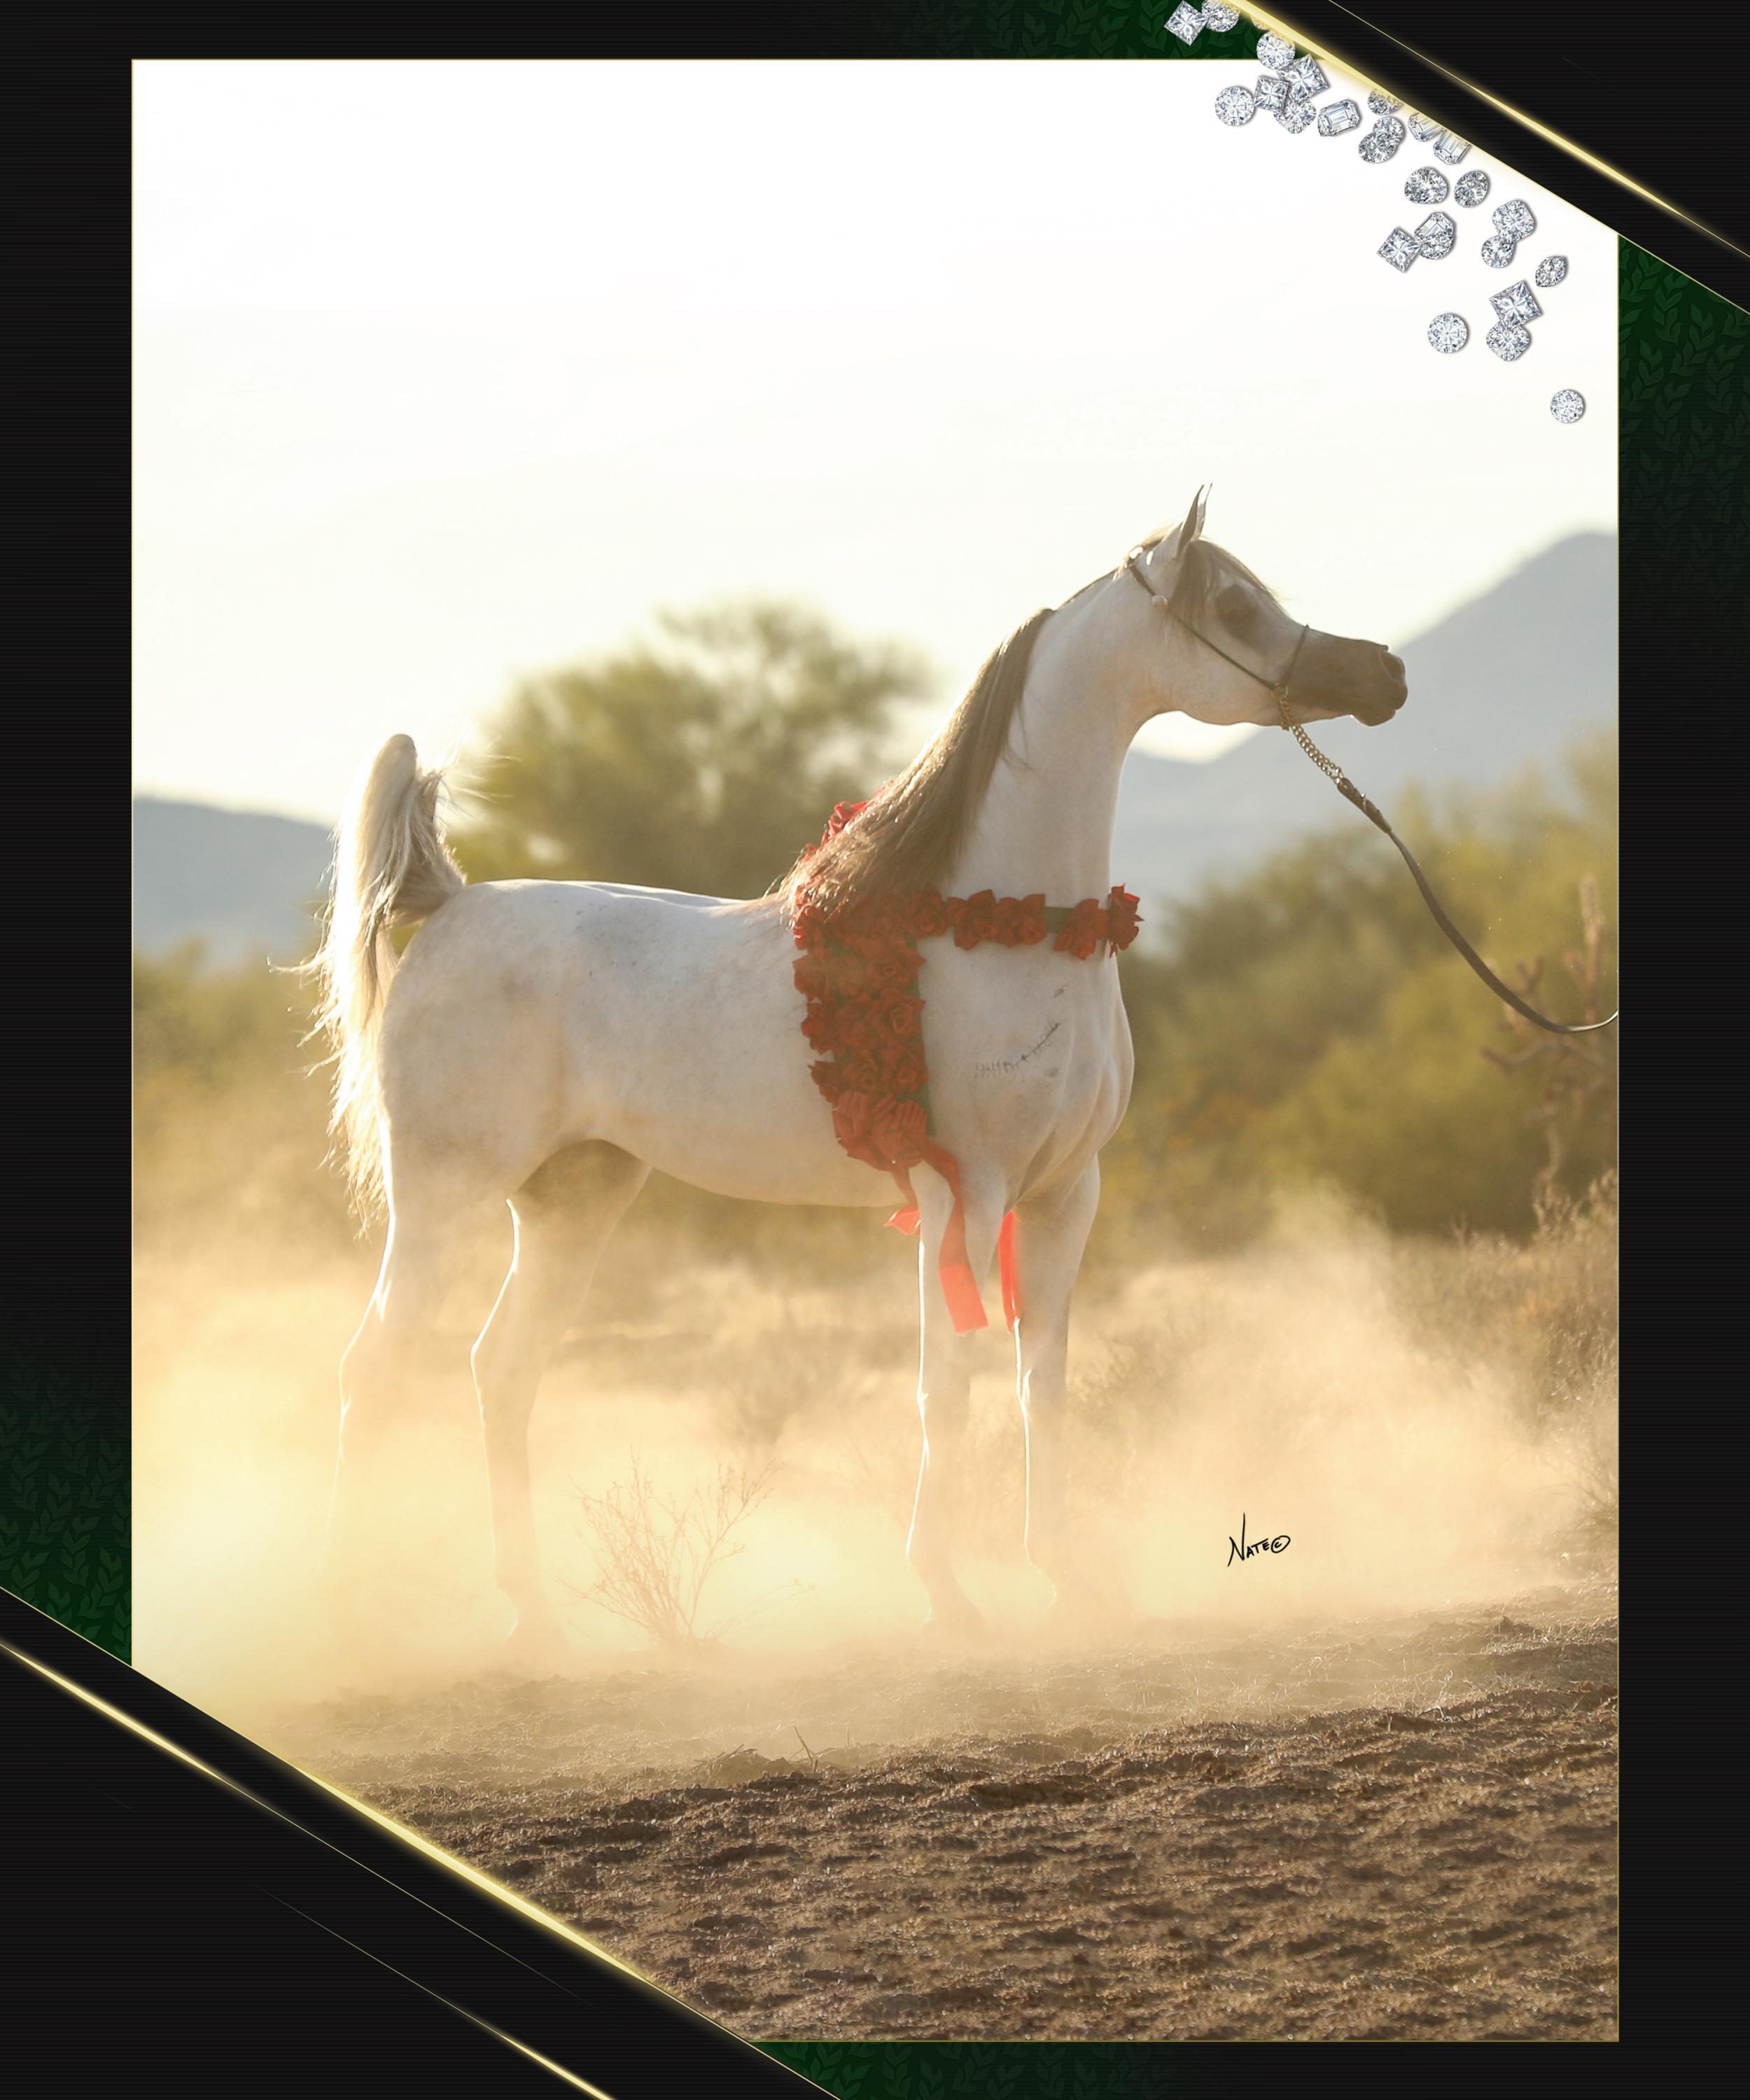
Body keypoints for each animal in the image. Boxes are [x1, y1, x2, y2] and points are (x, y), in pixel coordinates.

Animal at [313, 490, 1407, 1659]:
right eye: (1235, 605)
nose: (1382, 673)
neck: (1009, 929)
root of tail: (455, 904)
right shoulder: (963, 1198)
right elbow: (947, 1392)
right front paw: (948, 1595)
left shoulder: (1066, 1197)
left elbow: (1042, 1388)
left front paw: (1068, 1580)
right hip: (444, 1200)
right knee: (374, 1369)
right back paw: (349, 1612)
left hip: (573, 1201)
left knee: (500, 1371)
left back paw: (534, 1616)